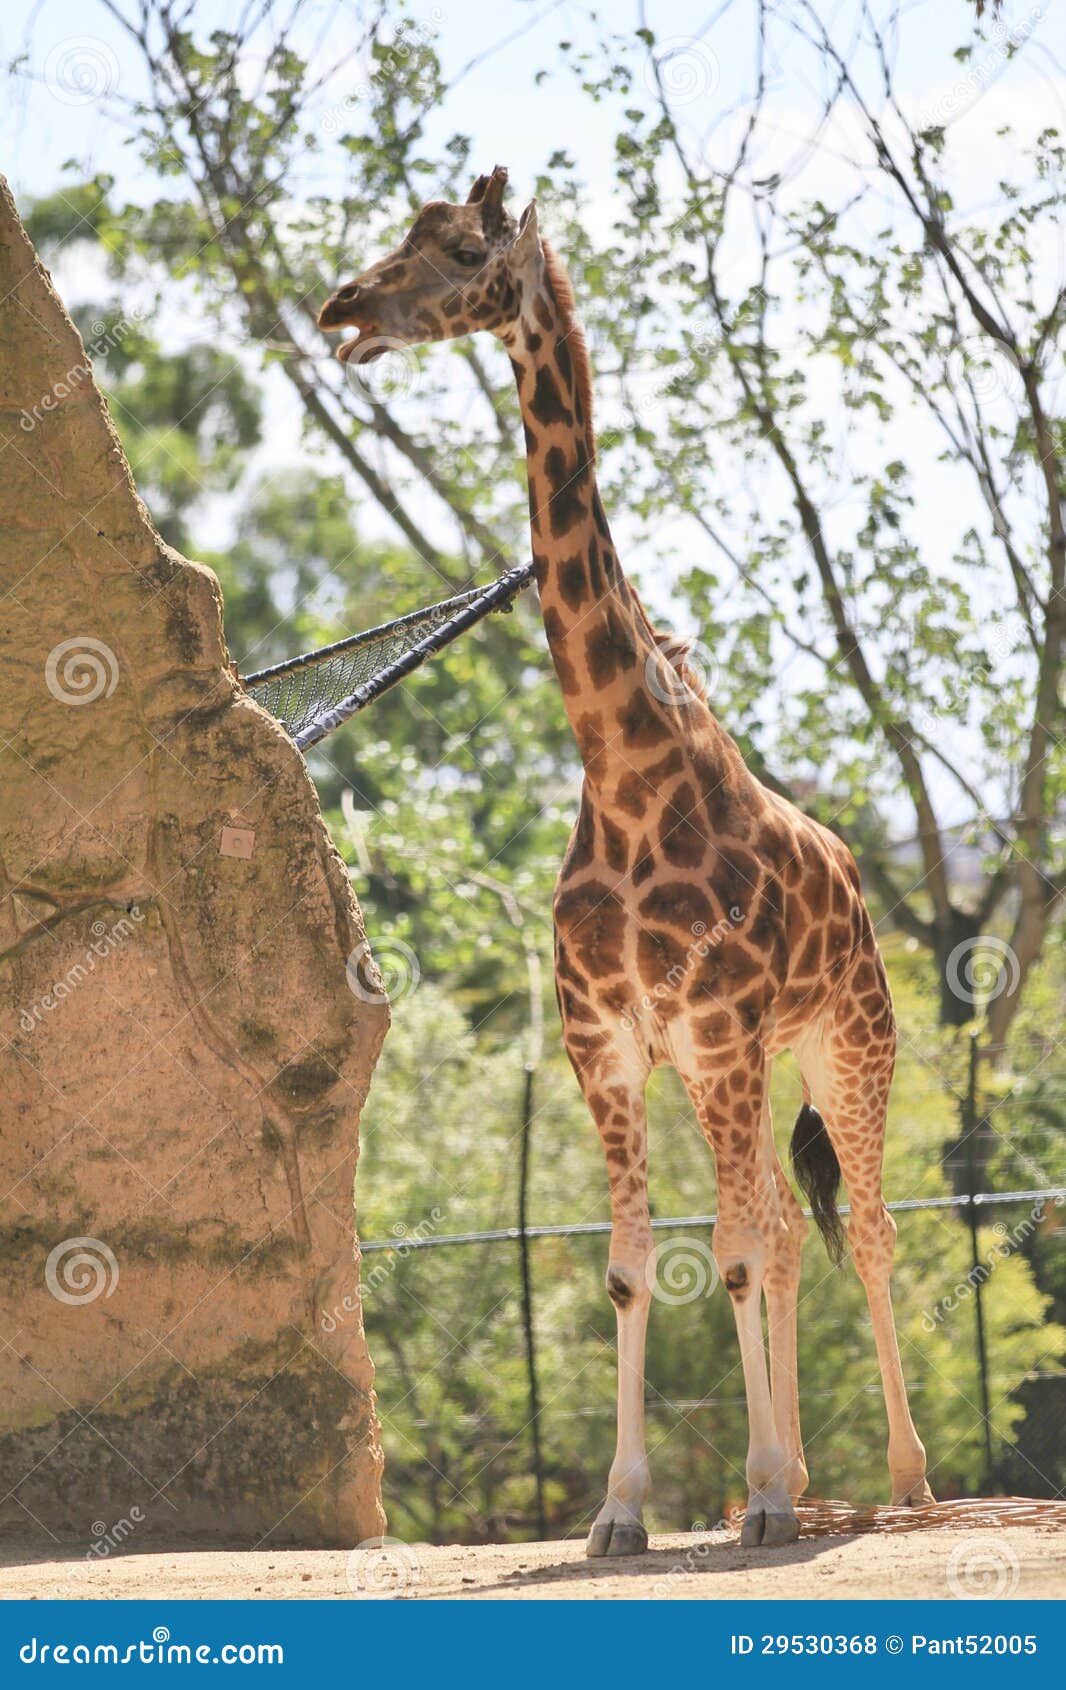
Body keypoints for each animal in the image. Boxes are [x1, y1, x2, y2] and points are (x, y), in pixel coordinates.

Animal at [319, 166, 933, 1554]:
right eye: (400, 231)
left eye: (461, 249)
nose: (341, 306)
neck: (620, 765)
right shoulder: (608, 1042)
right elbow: (634, 1263)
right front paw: (624, 1511)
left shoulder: (710, 1031)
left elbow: (738, 1250)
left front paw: (758, 1497)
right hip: (742, 1066)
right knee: (788, 1222)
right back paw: (801, 1473)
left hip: (845, 1039)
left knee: (864, 1228)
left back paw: (903, 1478)